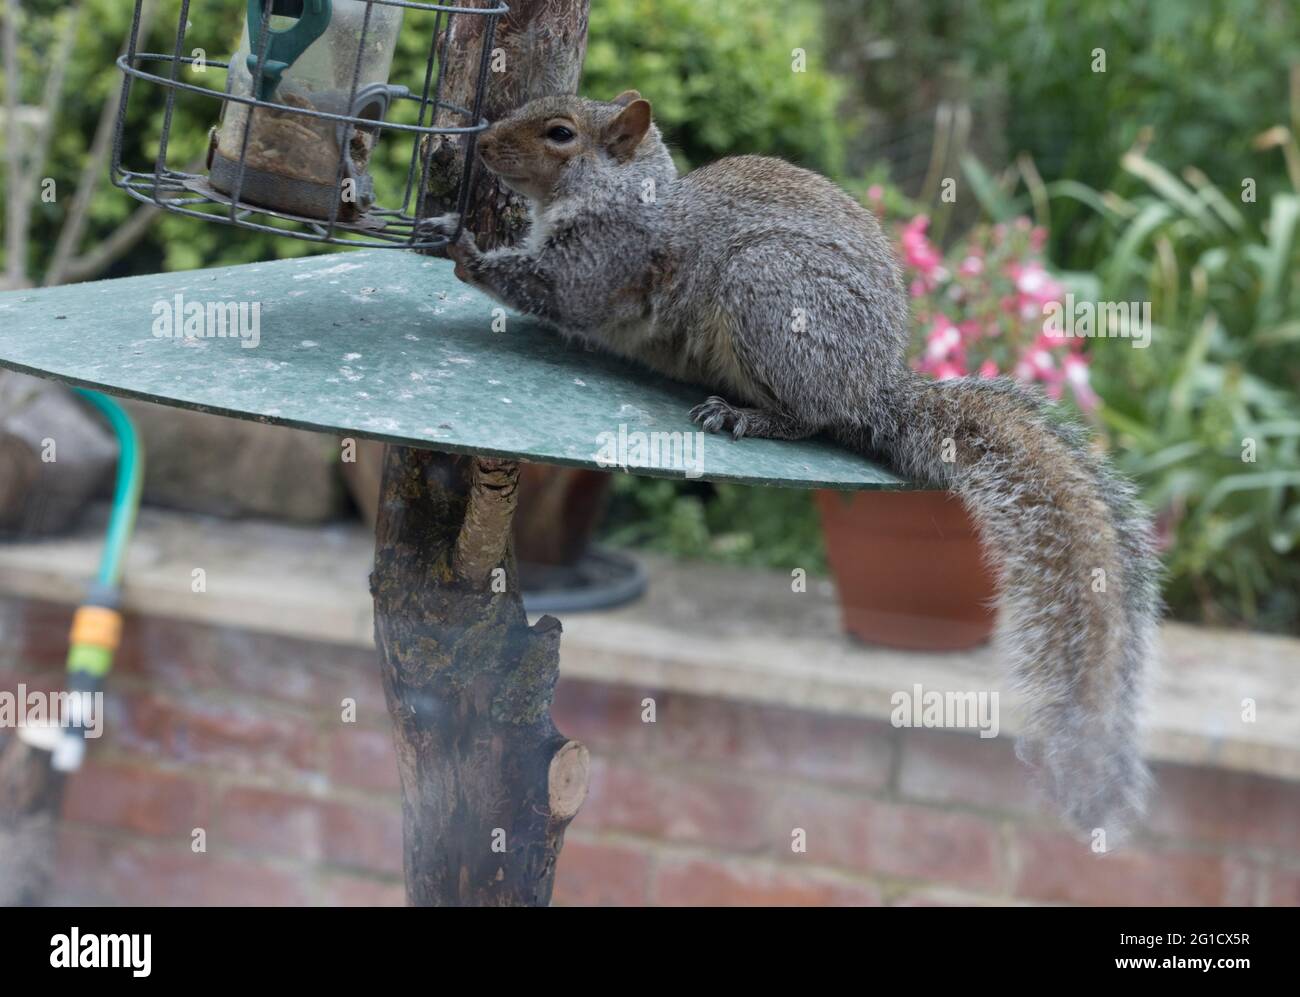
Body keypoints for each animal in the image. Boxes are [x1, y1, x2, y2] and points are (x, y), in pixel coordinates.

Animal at [425, 92, 1161, 837]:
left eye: (560, 133)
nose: (484, 140)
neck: (623, 195)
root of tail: (873, 389)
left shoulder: (606, 262)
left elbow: (552, 290)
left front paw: (462, 246)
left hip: (770, 293)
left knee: (812, 419)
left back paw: (749, 416)